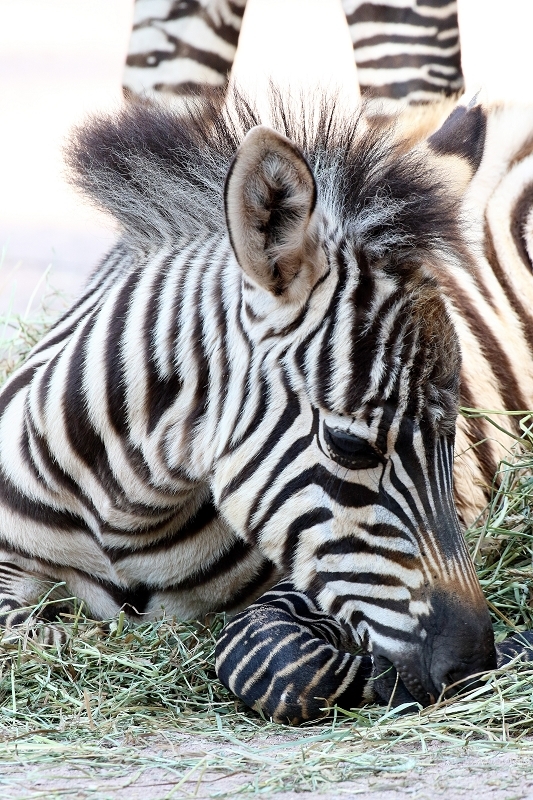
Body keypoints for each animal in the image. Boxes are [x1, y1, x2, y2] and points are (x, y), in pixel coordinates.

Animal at [1, 86, 533, 724]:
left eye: (454, 436)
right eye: (349, 445)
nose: (471, 666)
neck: (123, 511)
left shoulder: (302, 573)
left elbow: (266, 649)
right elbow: (25, 637)